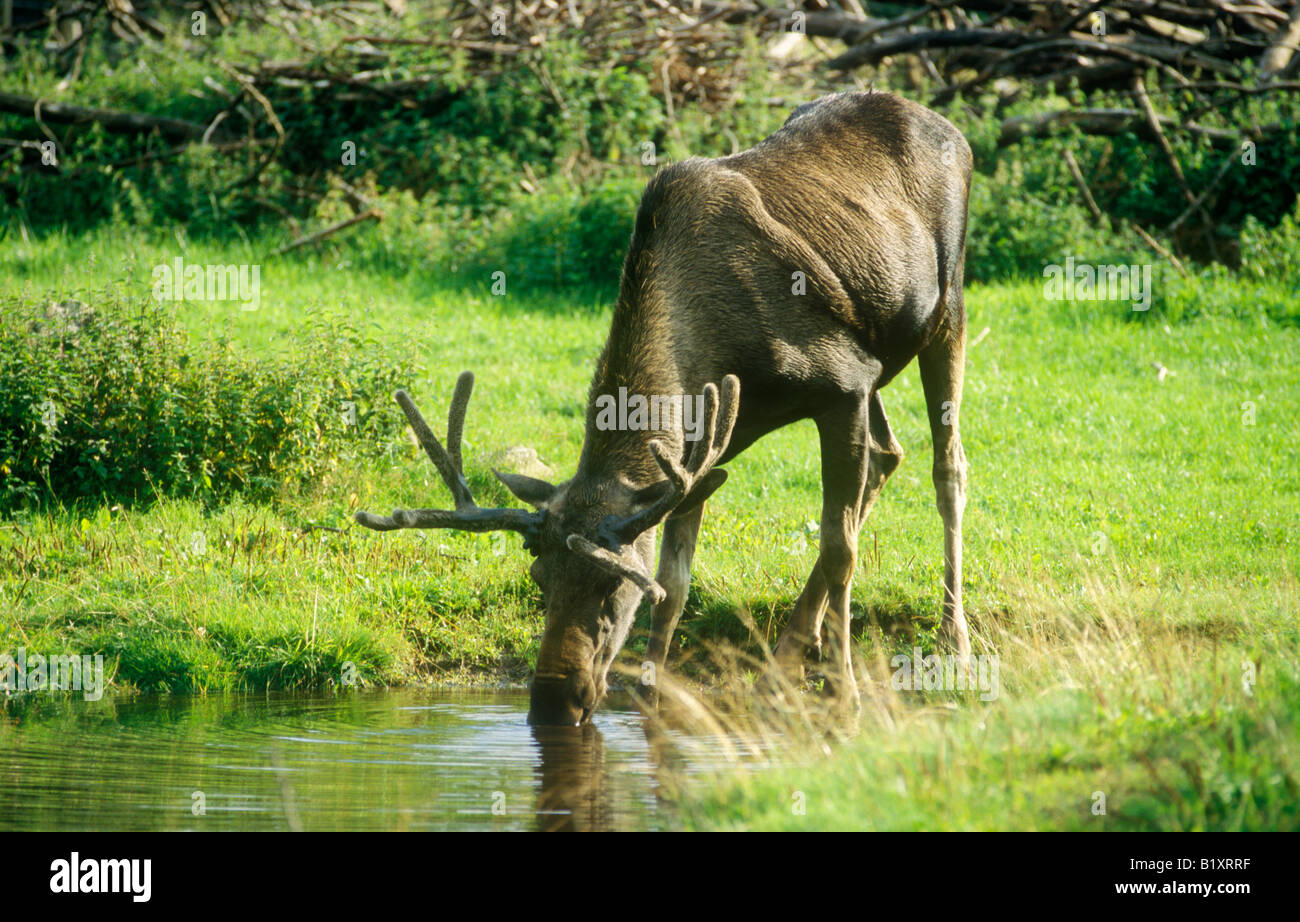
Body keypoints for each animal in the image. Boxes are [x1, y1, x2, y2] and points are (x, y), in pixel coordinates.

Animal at [356, 91, 973, 726]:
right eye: (538, 578)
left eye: (613, 587)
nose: (553, 701)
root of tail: (941, 121)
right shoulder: (700, 443)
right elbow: (678, 579)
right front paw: (650, 695)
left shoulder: (842, 381)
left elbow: (839, 548)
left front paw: (845, 693)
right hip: (879, 363)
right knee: (888, 454)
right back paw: (787, 658)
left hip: (947, 305)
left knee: (946, 465)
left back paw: (953, 639)